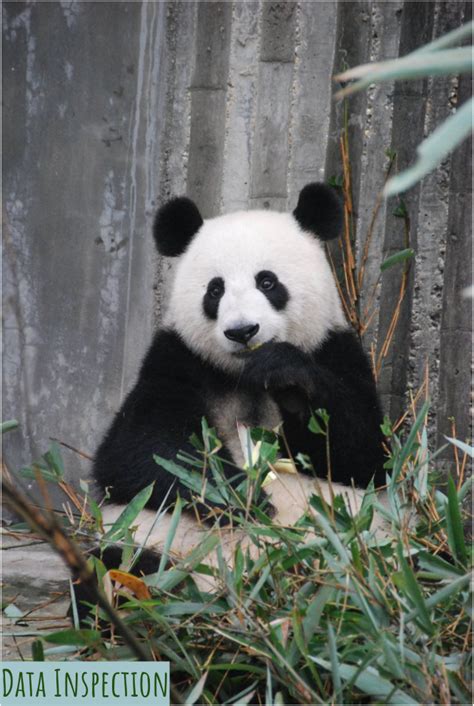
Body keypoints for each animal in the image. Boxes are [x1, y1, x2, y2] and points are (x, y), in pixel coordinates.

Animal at [90, 183, 386, 593]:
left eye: (267, 281)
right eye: (215, 290)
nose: (242, 331)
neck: (244, 375)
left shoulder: (335, 350)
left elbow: (365, 454)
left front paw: (286, 375)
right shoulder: (176, 361)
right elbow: (138, 452)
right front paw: (244, 497)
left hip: (360, 548)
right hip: (145, 540)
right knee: (114, 569)